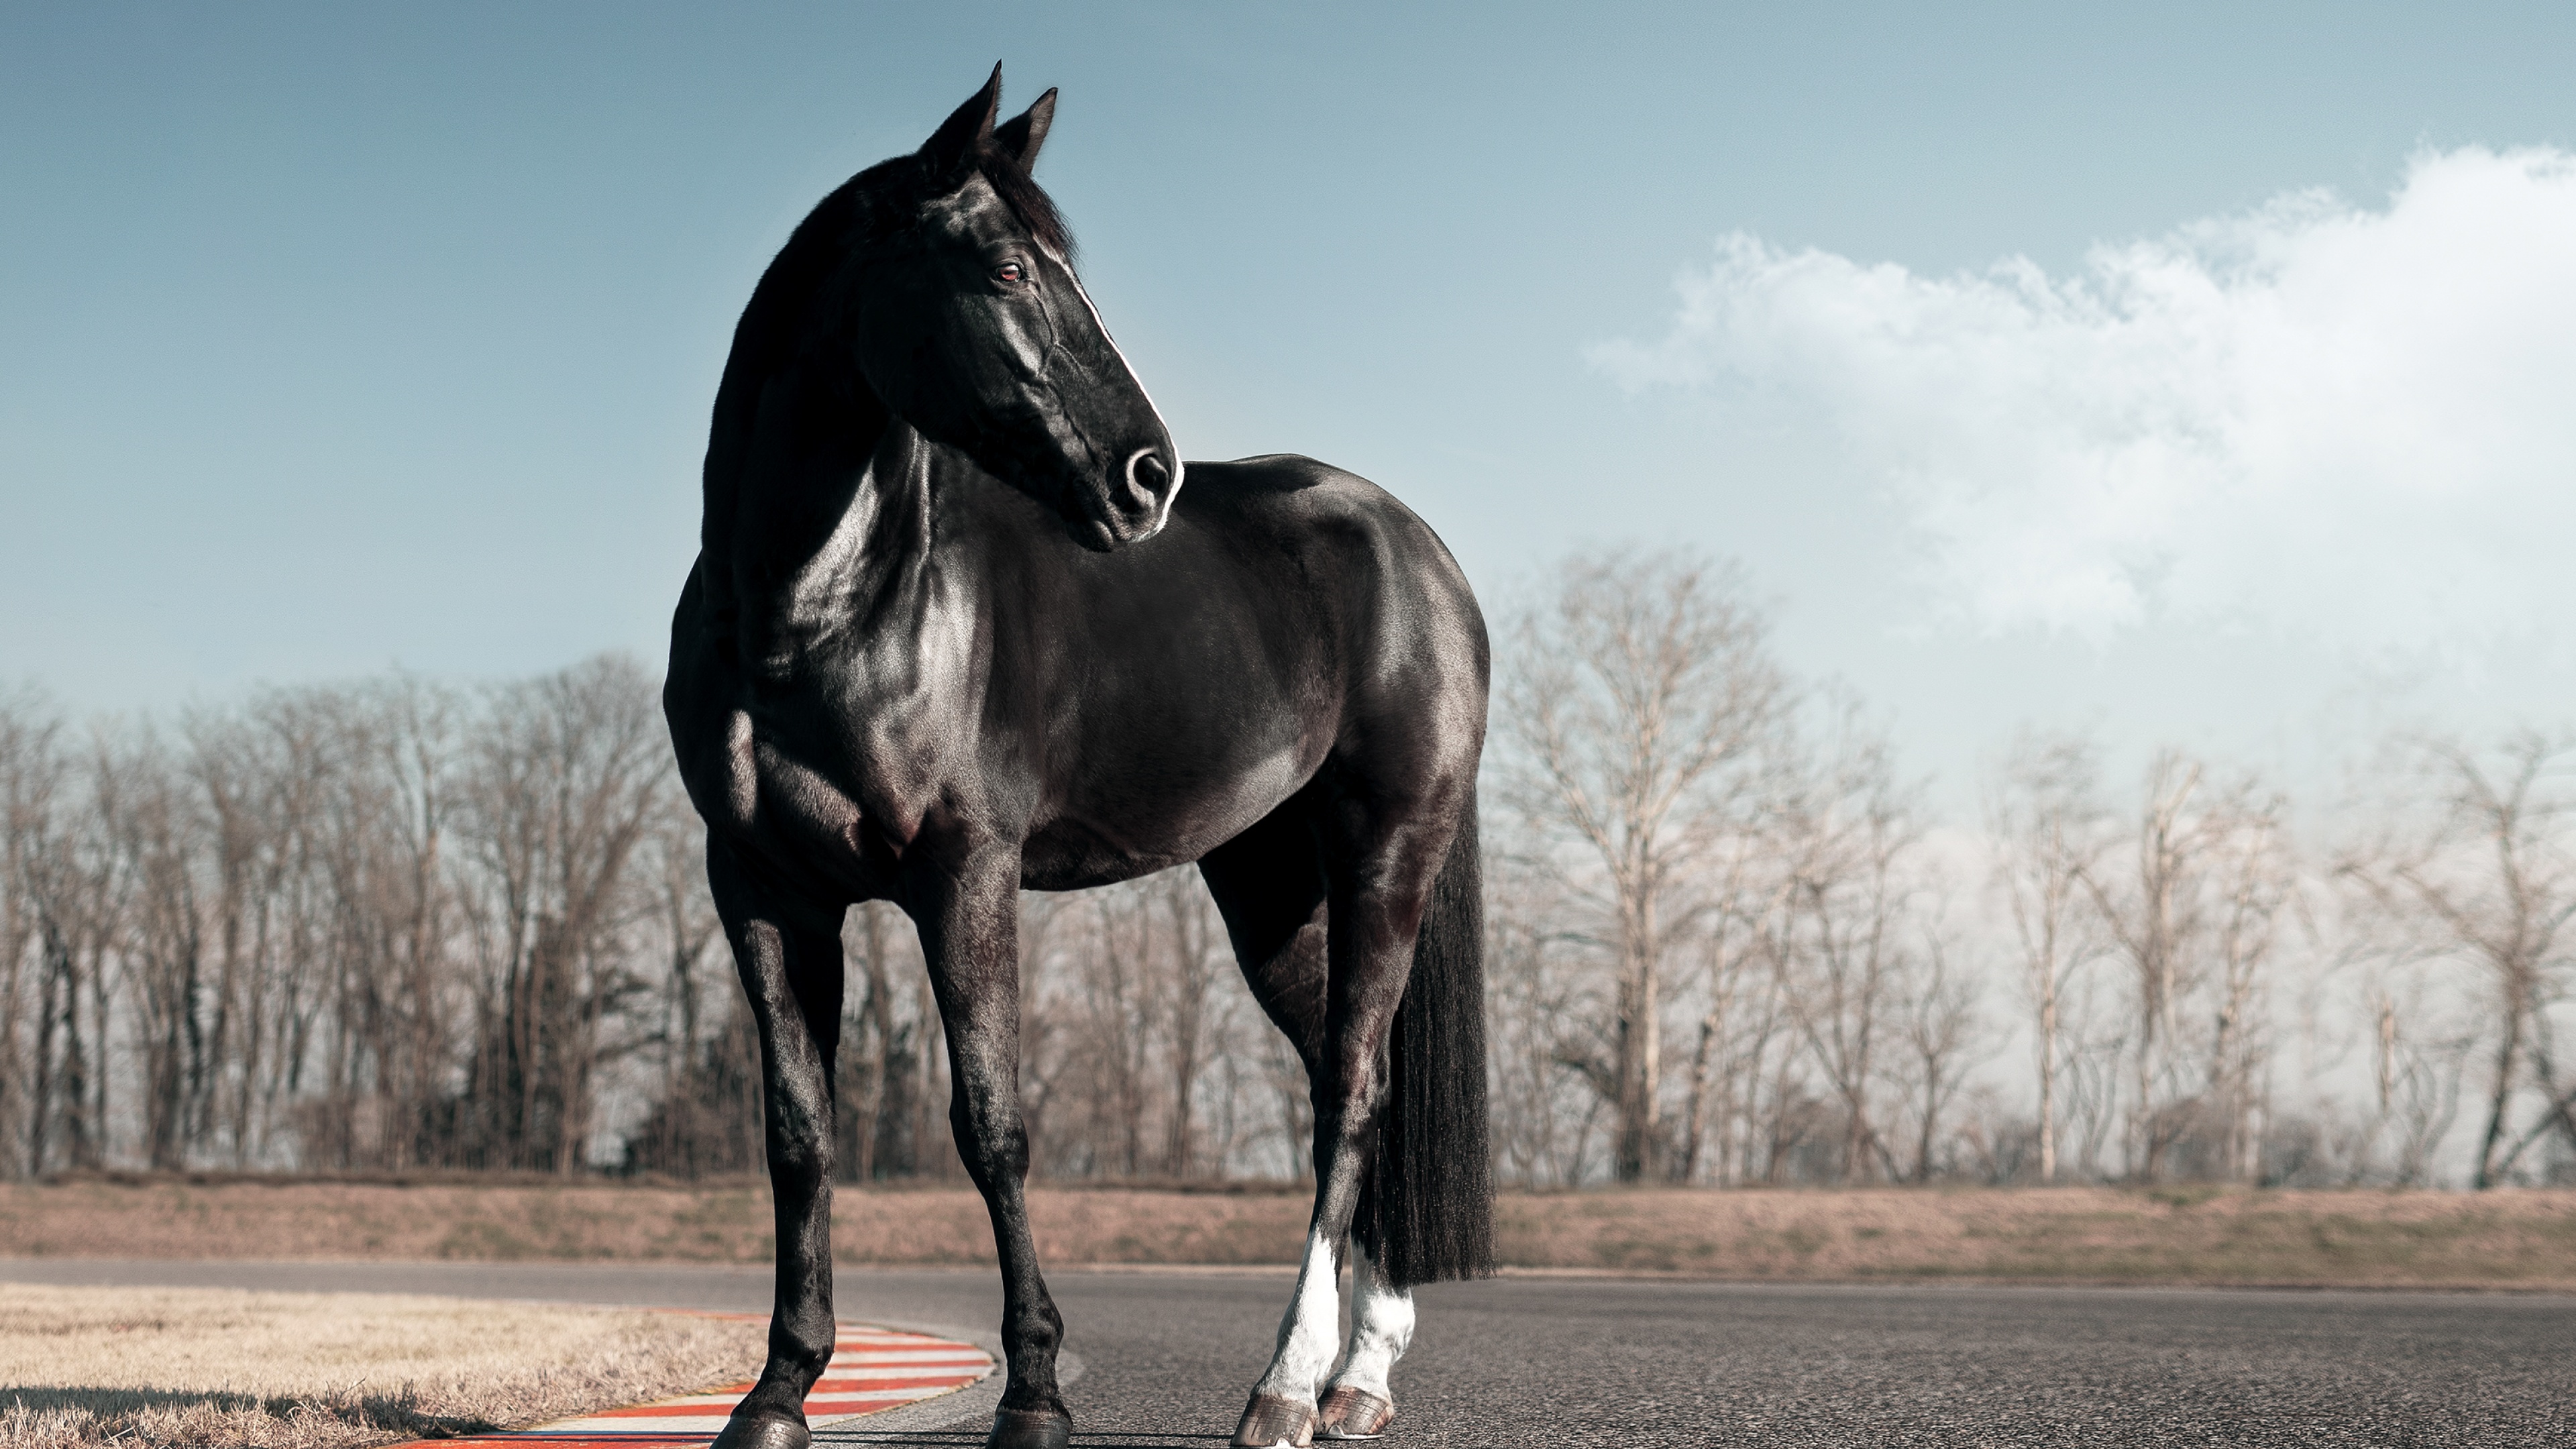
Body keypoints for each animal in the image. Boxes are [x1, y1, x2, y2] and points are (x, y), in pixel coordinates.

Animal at [663, 66, 1492, 1449]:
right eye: (1005, 269)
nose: (1147, 476)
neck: (817, 608)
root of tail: (1418, 547)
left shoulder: (965, 875)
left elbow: (992, 1126)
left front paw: (1037, 1394)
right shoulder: (764, 889)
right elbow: (799, 1136)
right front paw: (777, 1395)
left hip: (1389, 853)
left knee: (1352, 1095)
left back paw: (1284, 1389)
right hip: (1270, 886)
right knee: (1351, 1079)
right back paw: (1359, 1378)